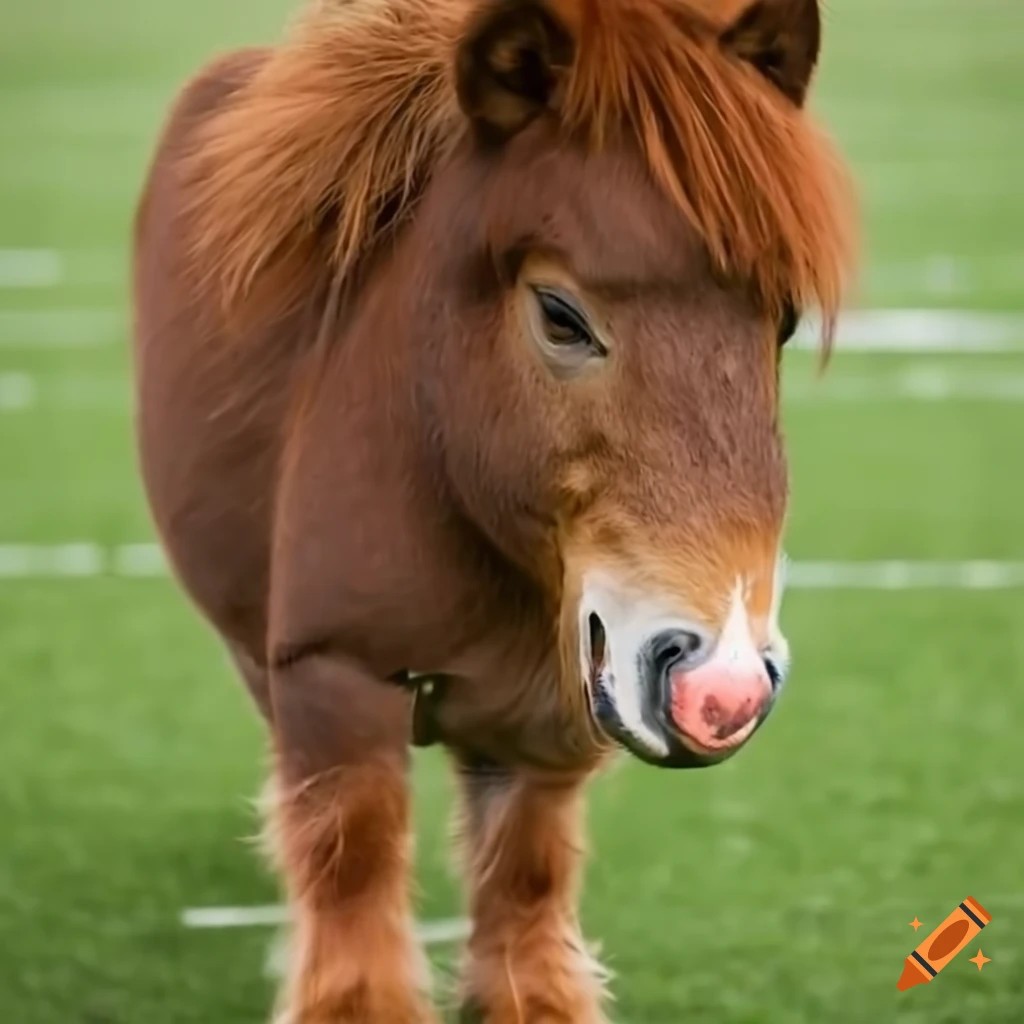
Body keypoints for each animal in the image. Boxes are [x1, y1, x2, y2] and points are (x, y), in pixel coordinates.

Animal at [130, 0, 856, 1019]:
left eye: (783, 317)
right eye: (559, 314)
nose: (721, 689)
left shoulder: (545, 717)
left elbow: (524, 904)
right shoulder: (331, 678)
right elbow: (353, 903)